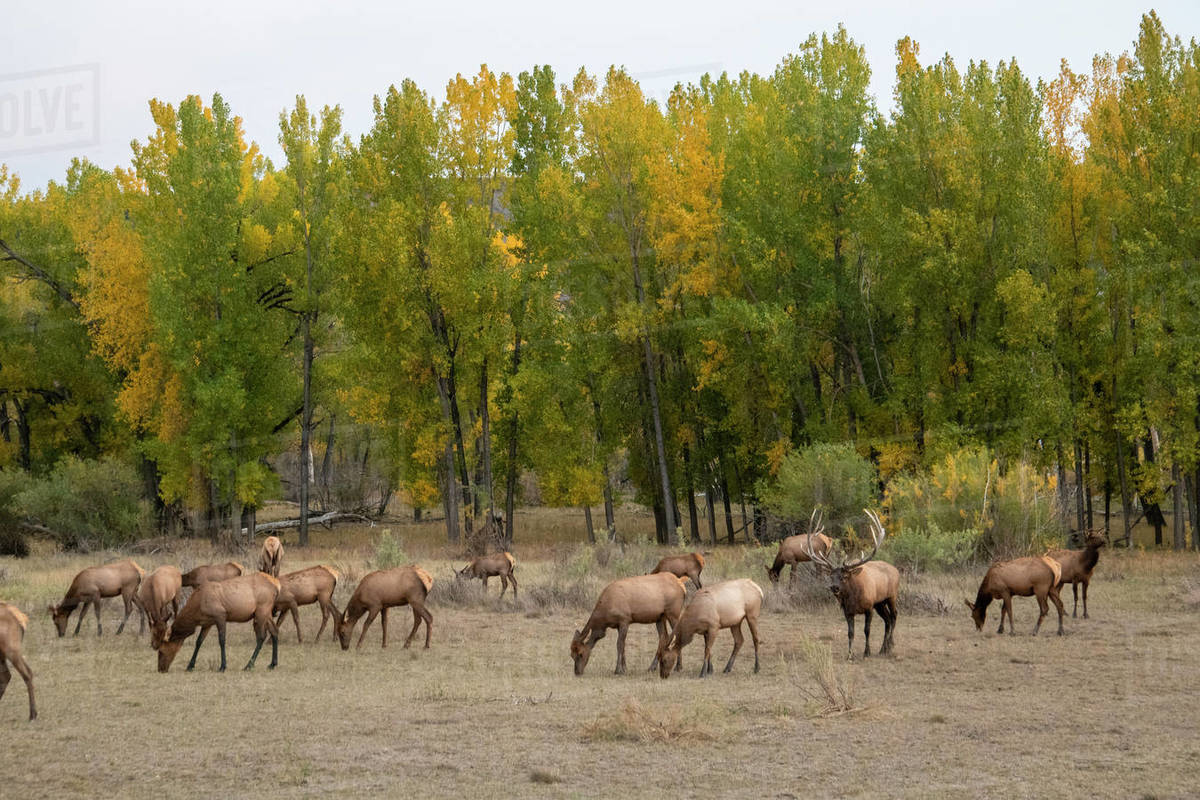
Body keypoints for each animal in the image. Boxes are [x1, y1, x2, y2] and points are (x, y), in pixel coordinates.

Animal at [805, 510, 900, 659]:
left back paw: (890, 645)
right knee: (887, 620)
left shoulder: (869, 607)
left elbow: (867, 630)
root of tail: (896, 570)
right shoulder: (848, 611)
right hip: (879, 603)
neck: (853, 598)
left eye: (844, 576)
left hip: (891, 596)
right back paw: (882, 649)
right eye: (831, 576)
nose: (834, 587)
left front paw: (867, 652)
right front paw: (850, 654)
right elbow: (850, 633)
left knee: (894, 616)